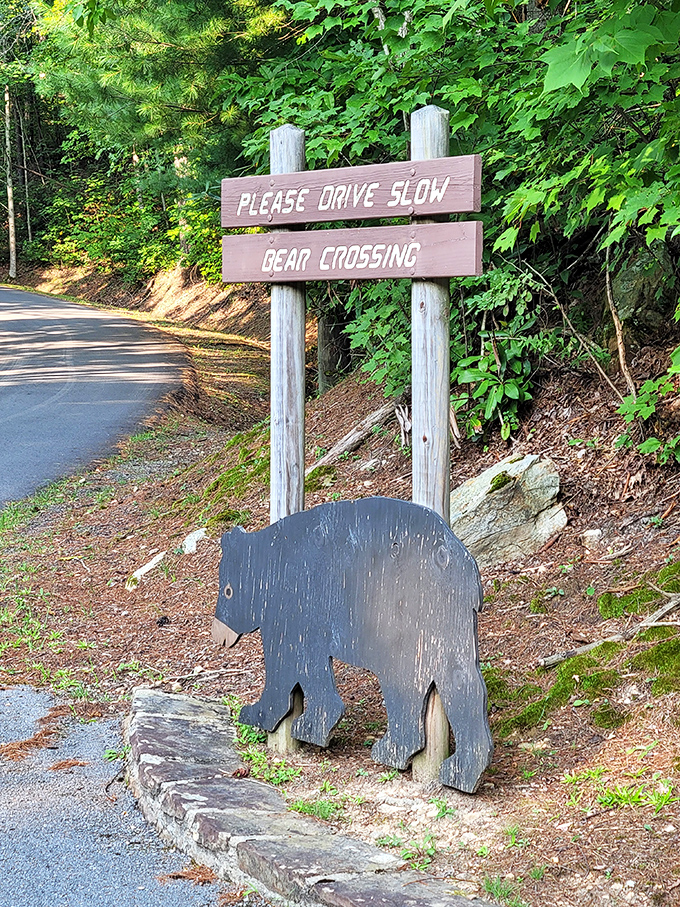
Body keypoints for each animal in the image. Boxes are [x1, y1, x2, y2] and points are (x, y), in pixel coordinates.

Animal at [213, 496, 493, 793]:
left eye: (227, 591)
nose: (218, 634)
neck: (272, 565)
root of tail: (456, 559)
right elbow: (310, 669)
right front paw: (311, 726)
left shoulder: (294, 607)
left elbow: (286, 665)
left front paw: (257, 713)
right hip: (447, 624)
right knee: (460, 683)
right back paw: (461, 769)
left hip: (405, 621)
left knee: (404, 686)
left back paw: (392, 750)